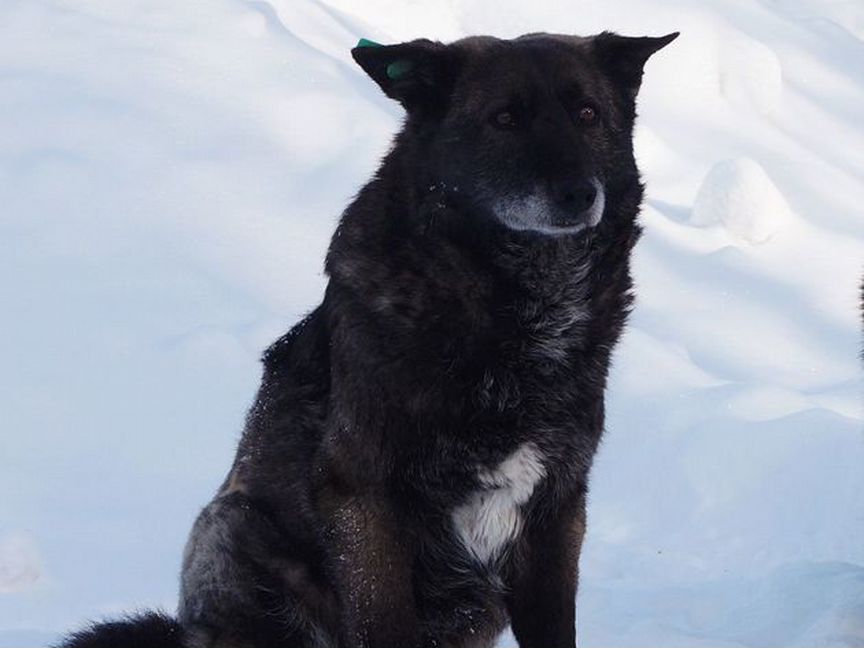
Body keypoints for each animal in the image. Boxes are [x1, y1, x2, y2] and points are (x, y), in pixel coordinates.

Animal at [60, 29, 680, 648]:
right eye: (504, 118)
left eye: (587, 113)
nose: (579, 194)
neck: (521, 315)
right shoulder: (367, 505)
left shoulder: (556, 510)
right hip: (233, 532)